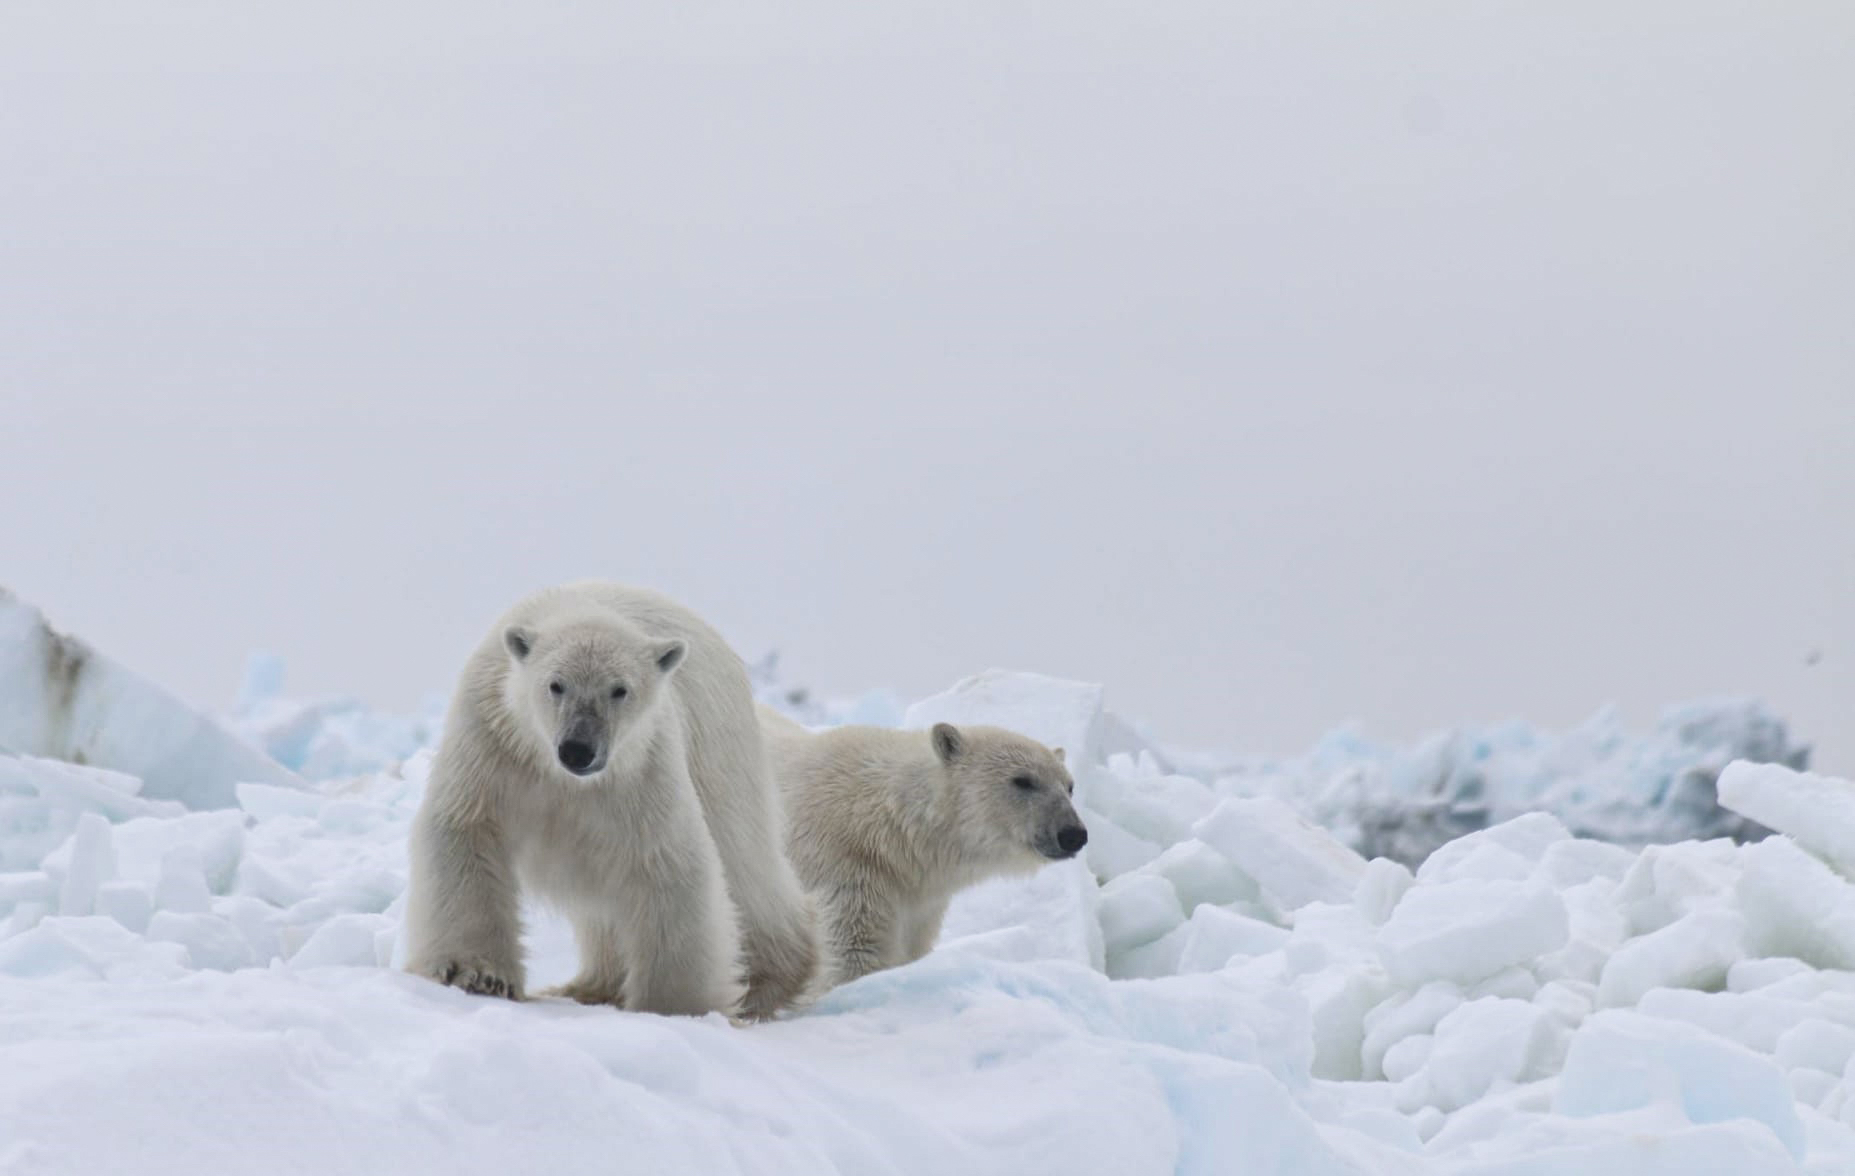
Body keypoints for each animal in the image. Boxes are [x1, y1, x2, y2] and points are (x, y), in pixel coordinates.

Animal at [403, 581, 819, 1020]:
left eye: (620, 689)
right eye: (556, 684)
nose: (578, 749)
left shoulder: (640, 766)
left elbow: (667, 860)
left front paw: (674, 1007)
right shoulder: (494, 743)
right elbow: (468, 830)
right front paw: (478, 975)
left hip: (719, 749)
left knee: (742, 857)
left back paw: (772, 979)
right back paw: (587, 987)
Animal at [761, 706, 1089, 985]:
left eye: (1069, 786)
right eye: (1022, 780)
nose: (1073, 834)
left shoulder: (920, 901)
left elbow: (910, 948)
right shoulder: (840, 866)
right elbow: (855, 953)